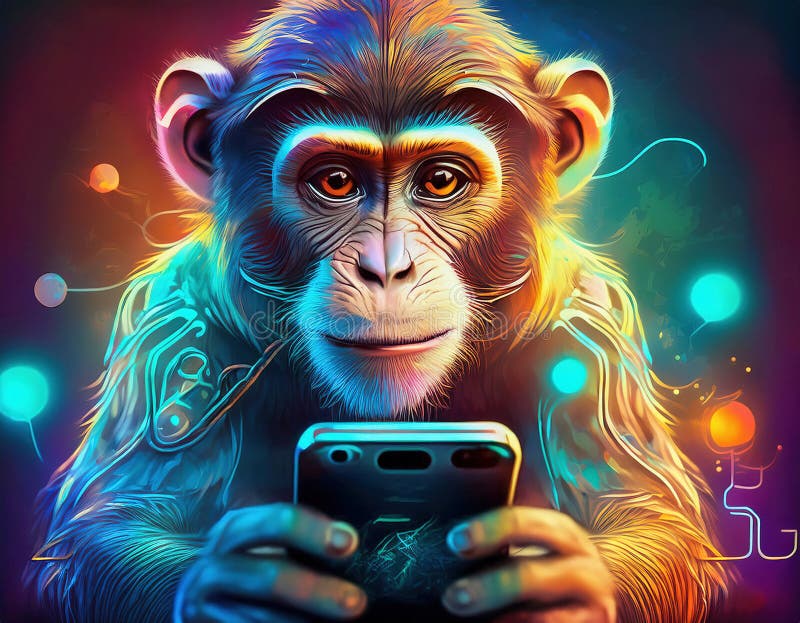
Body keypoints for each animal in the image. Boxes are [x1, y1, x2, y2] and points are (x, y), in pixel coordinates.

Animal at [27, 0, 733, 621]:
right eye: (335, 181)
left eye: (442, 180)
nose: (387, 267)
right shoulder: (174, 321)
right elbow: (118, 521)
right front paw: (237, 585)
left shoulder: (589, 325)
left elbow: (646, 516)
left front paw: (557, 586)